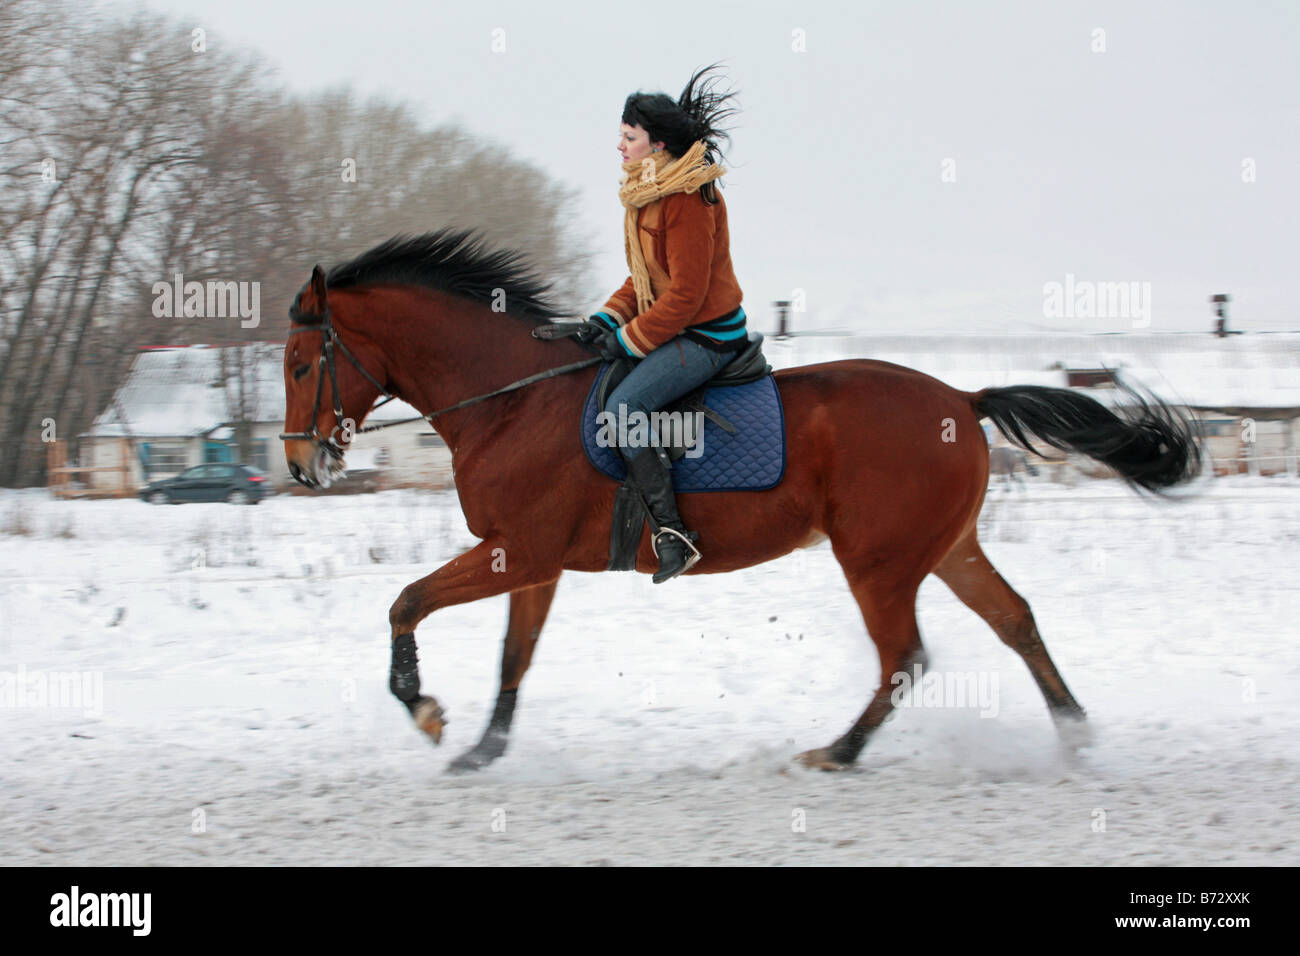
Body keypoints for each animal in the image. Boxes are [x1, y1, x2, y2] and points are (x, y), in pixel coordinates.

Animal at [280, 230, 1200, 772]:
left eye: (297, 363)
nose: (300, 465)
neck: (512, 399)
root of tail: (959, 398)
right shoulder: (532, 562)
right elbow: (514, 655)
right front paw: (481, 749)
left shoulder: (519, 552)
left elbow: (406, 601)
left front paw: (426, 712)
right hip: (942, 548)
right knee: (1015, 620)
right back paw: (1075, 735)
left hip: (878, 561)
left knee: (904, 657)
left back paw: (838, 752)